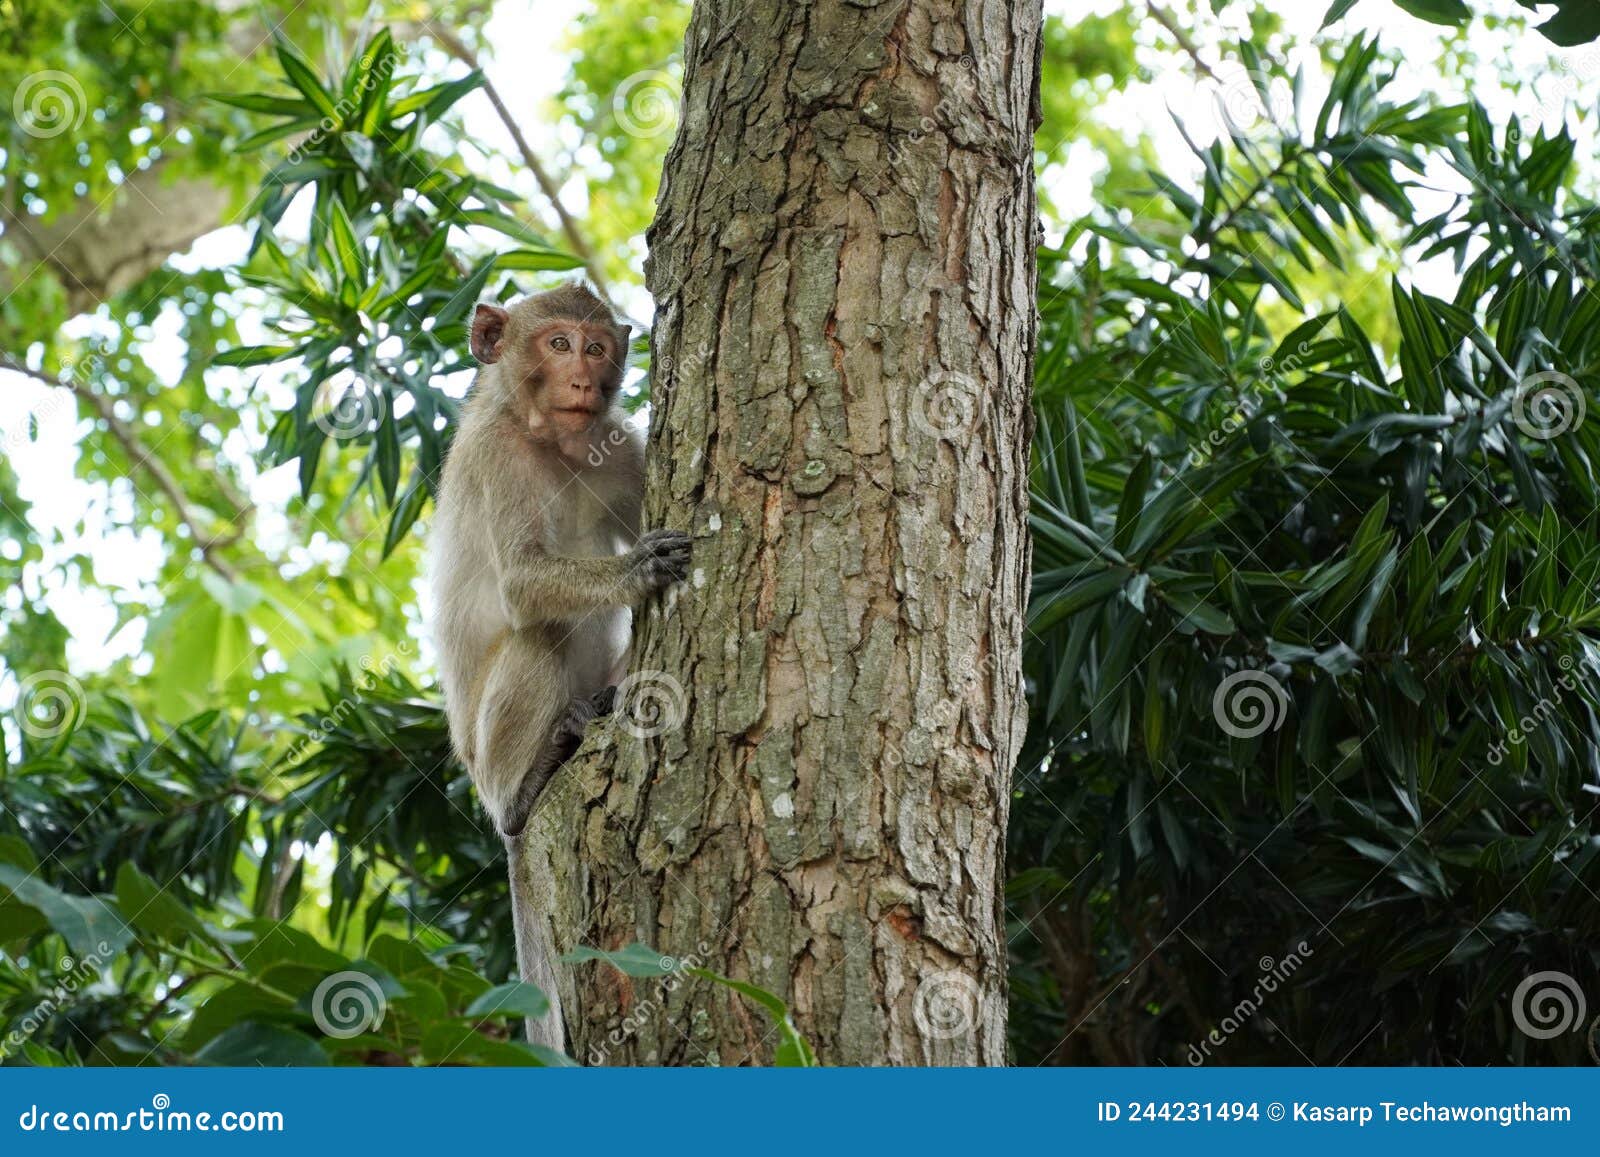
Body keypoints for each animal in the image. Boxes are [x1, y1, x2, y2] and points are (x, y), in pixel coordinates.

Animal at [428, 282, 691, 1051]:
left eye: (596, 346)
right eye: (559, 344)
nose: (582, 379)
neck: (554, 440)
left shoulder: (621, 451)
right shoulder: (497, 455)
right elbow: (521, 584)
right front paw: (637, 571)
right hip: (484, 756)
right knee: (535, 636)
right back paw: (527, 788)